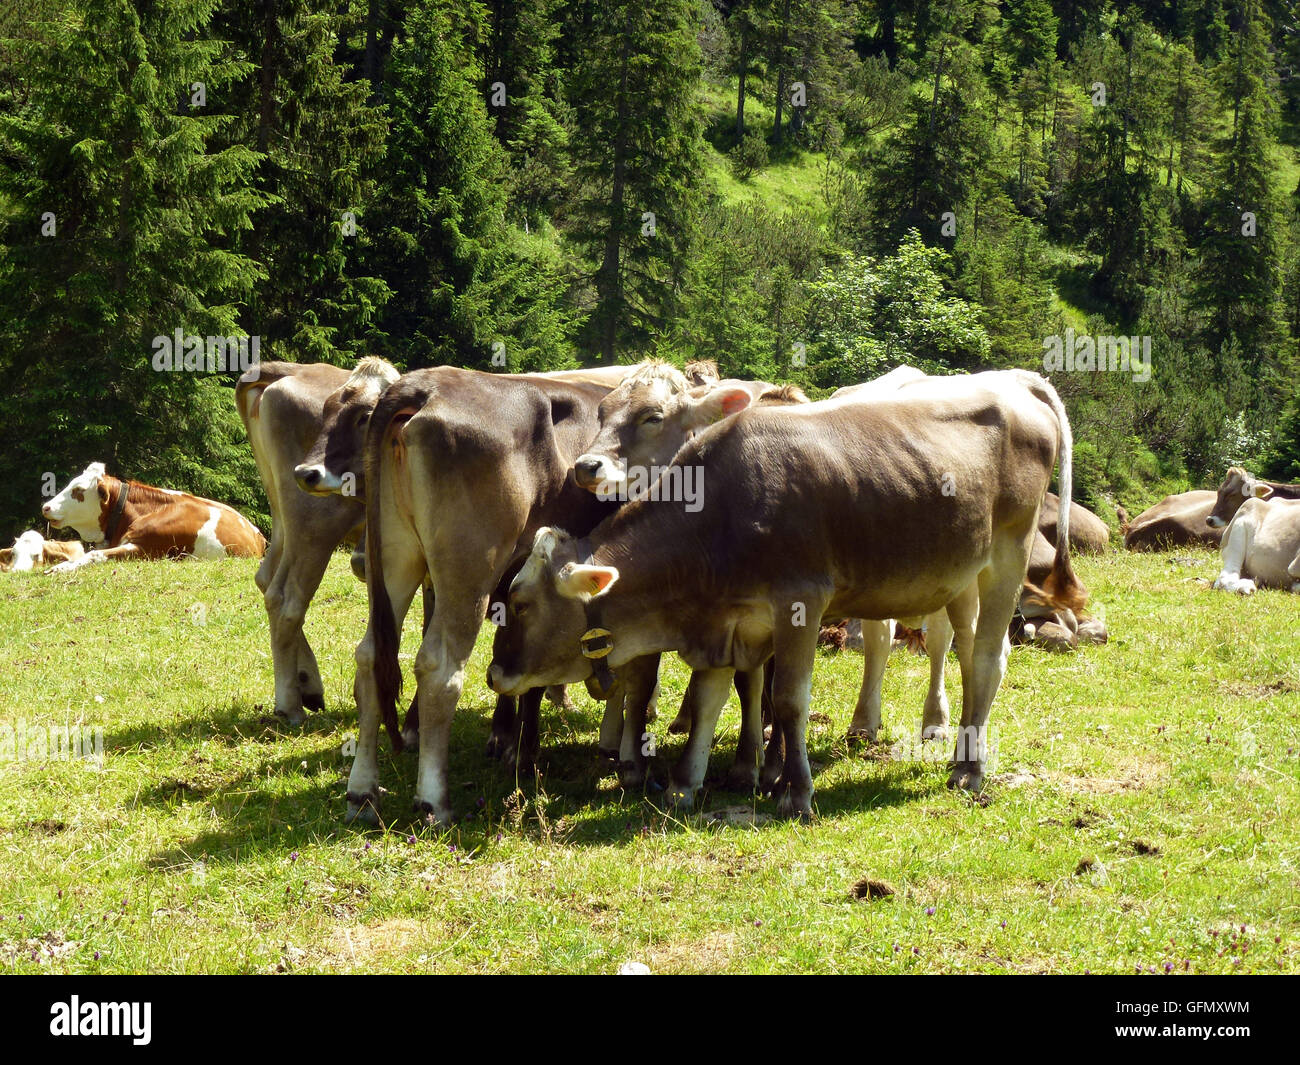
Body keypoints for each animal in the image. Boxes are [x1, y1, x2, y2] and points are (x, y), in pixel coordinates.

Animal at [42, 464, 265, 572]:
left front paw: (61, 569)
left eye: (78, 490)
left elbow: (94, 555)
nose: (46, 507)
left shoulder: (145, 548)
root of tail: (259, 535)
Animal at [488, 369, 1086, 819]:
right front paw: (687, 782)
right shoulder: (726, 619)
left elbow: (790, 698)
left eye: (521, 604)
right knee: (966, 650)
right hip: (956, 573)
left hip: (1006, 552)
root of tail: (1015, 382)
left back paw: (968, 767)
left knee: (982, 657)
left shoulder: (799, 603)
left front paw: (792, 790)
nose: (495, 674)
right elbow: (714, 694)